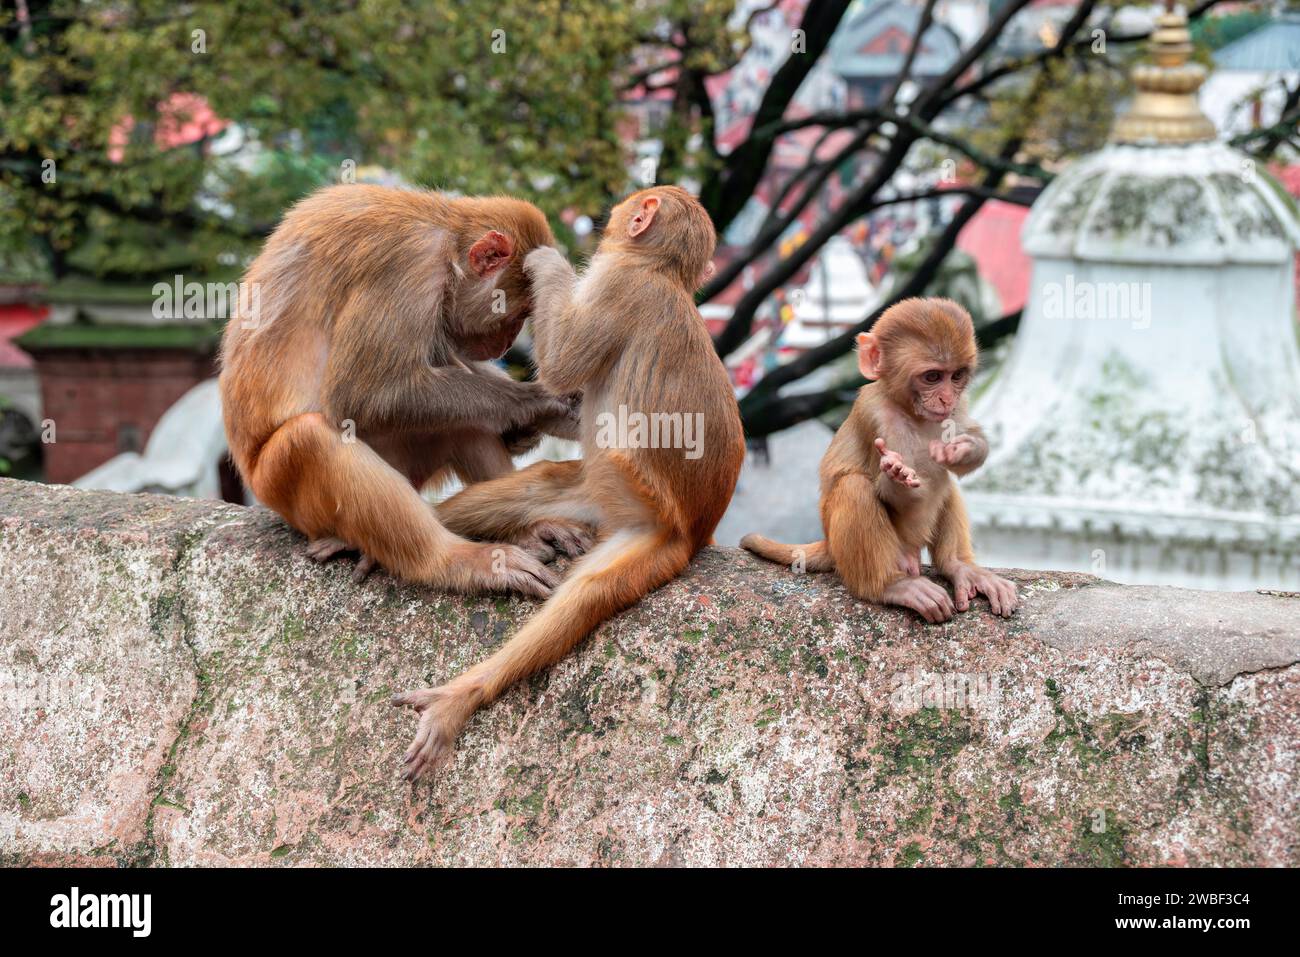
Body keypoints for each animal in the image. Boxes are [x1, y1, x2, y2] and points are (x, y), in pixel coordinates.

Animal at [219, 184, 588, 599]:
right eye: (519, 313)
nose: (507, 344)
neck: (447, 238)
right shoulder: (411, 263)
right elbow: (364, 396)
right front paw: (538, 404)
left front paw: (538, 422)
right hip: (286, 490)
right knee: (311, 437)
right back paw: (458, 561)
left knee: (463, 422)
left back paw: (525, 528)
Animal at [392, 186, 745, 780]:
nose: (617, 210)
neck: (659, 270)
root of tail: (696, 534)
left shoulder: (617, 282)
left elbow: (563, 363)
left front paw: (547, 262)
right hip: (593, 499)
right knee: (533, 491)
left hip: (645, 528)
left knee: (585, 597)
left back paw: (463, 695)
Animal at [741, 297, 1017, 624]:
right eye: (933, 377)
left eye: (957, 375)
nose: (947, 399)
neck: (909, 410)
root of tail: (828, 543)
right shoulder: (873, 416)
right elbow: (900, 498)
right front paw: (896, 474)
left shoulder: (959, 406)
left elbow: (968, 442)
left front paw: (965, 447)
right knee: (854, 488)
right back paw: (891, 585)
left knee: (946, 487)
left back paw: (958, 566)